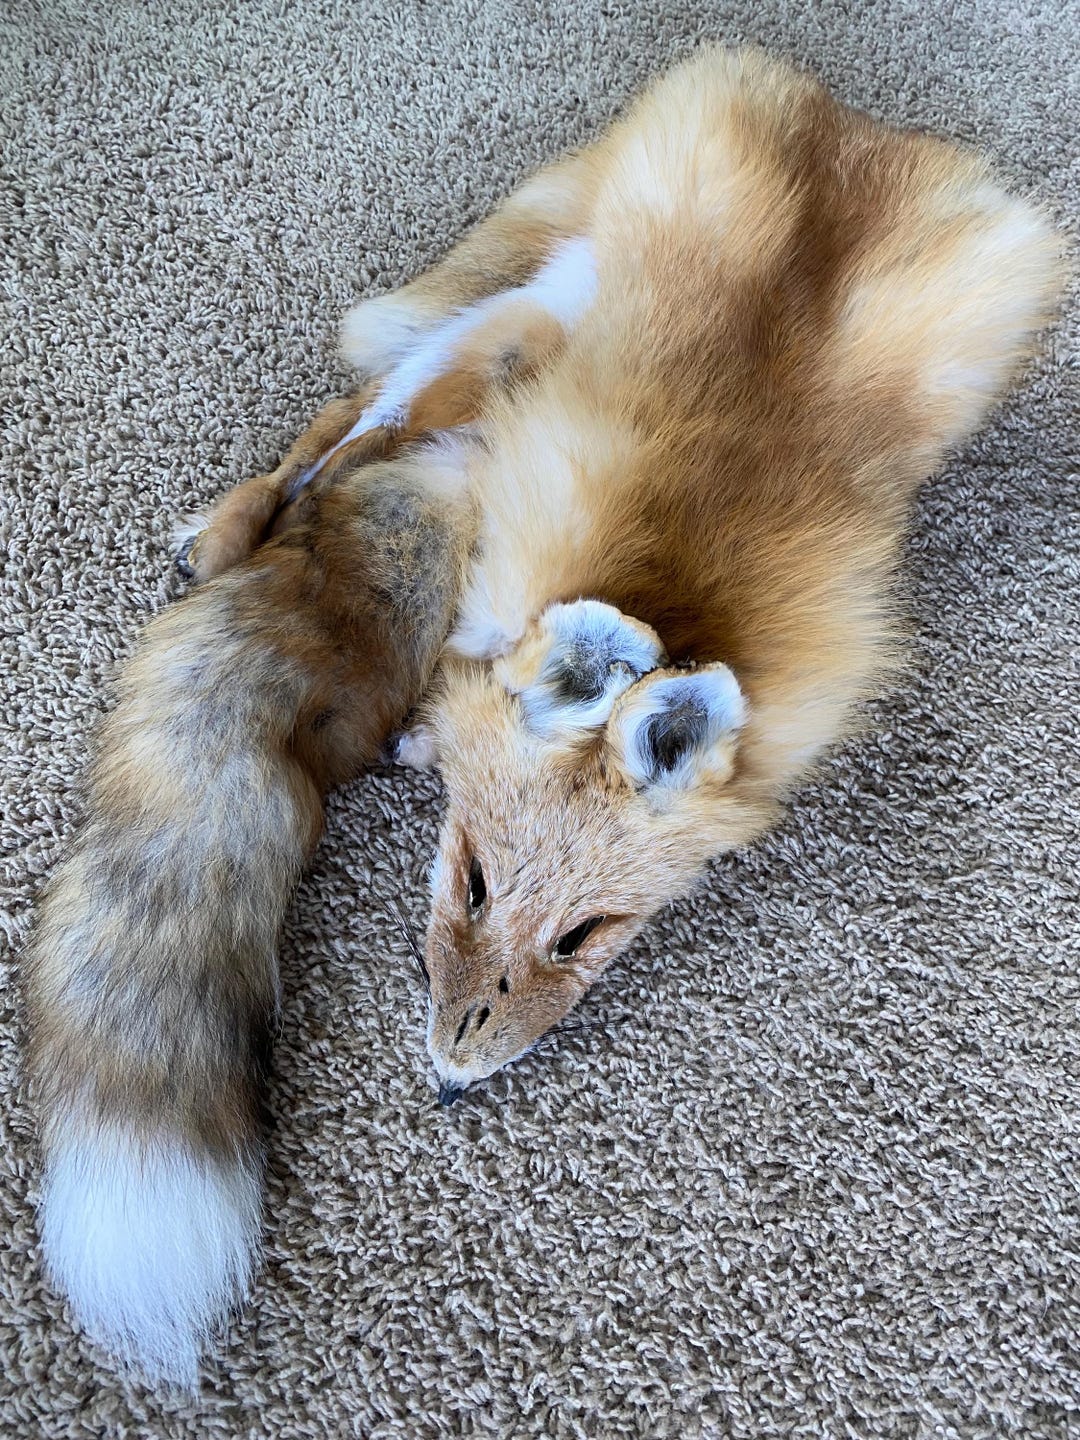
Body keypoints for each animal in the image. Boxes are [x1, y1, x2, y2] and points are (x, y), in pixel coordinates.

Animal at [23, 46, 1063, 1382]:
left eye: (586, 933)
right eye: (469, 880)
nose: (451, 1082)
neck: (673, 583)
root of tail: (854, 120)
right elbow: (362, 458)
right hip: (520, 301)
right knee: (348, 422)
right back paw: (232, 524)